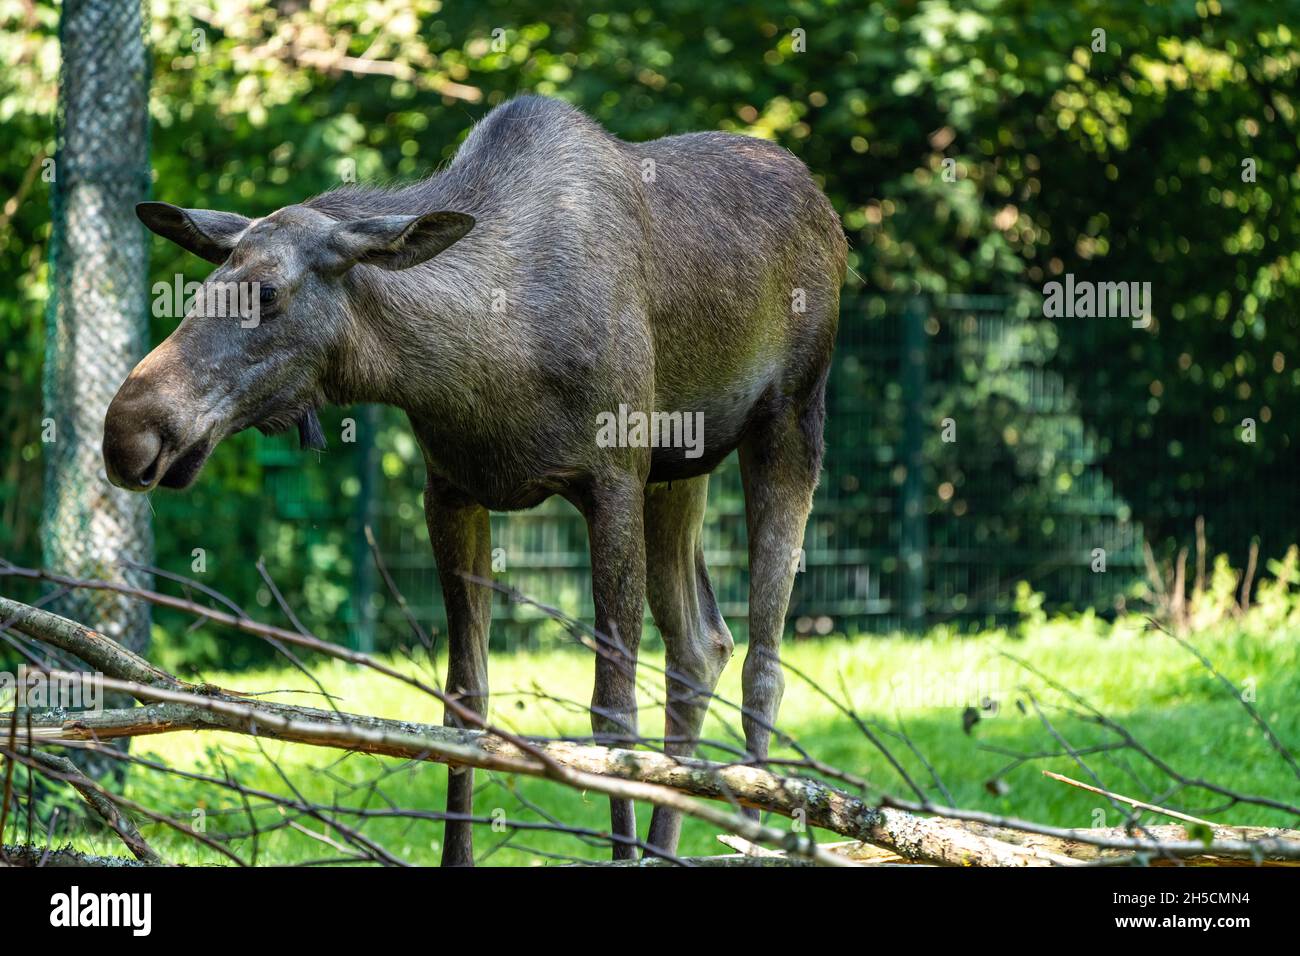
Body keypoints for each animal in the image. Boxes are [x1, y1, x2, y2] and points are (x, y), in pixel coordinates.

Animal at [102, 95, 846, 864]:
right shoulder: (451, 490)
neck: (480, 362)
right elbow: (464, 702)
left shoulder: (611, 479)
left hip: (790, 421)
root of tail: (825, 206)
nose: (130, 431)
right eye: (200, 287)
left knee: (763, 663)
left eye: (269, 292)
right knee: (702, 646)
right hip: (679, 471)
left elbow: (613, 714)